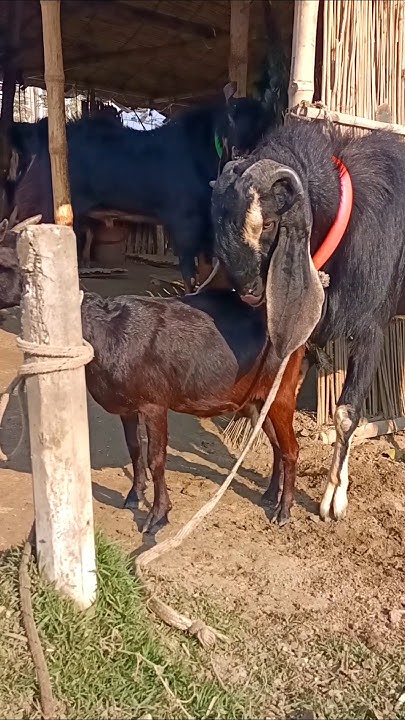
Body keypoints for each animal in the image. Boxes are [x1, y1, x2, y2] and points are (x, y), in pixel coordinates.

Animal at [9, 95, 275, 292]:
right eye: (230, 117)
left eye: (262, 123)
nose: (241, 150)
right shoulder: (184, 221)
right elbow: (189, 273)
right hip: (41, 209)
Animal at [211, 120, 405, 523]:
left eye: (268, 222)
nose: (250, 293)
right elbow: (274, 403)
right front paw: (273, 493)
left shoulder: (372, 328)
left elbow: (346, 413)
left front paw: (333, 500)